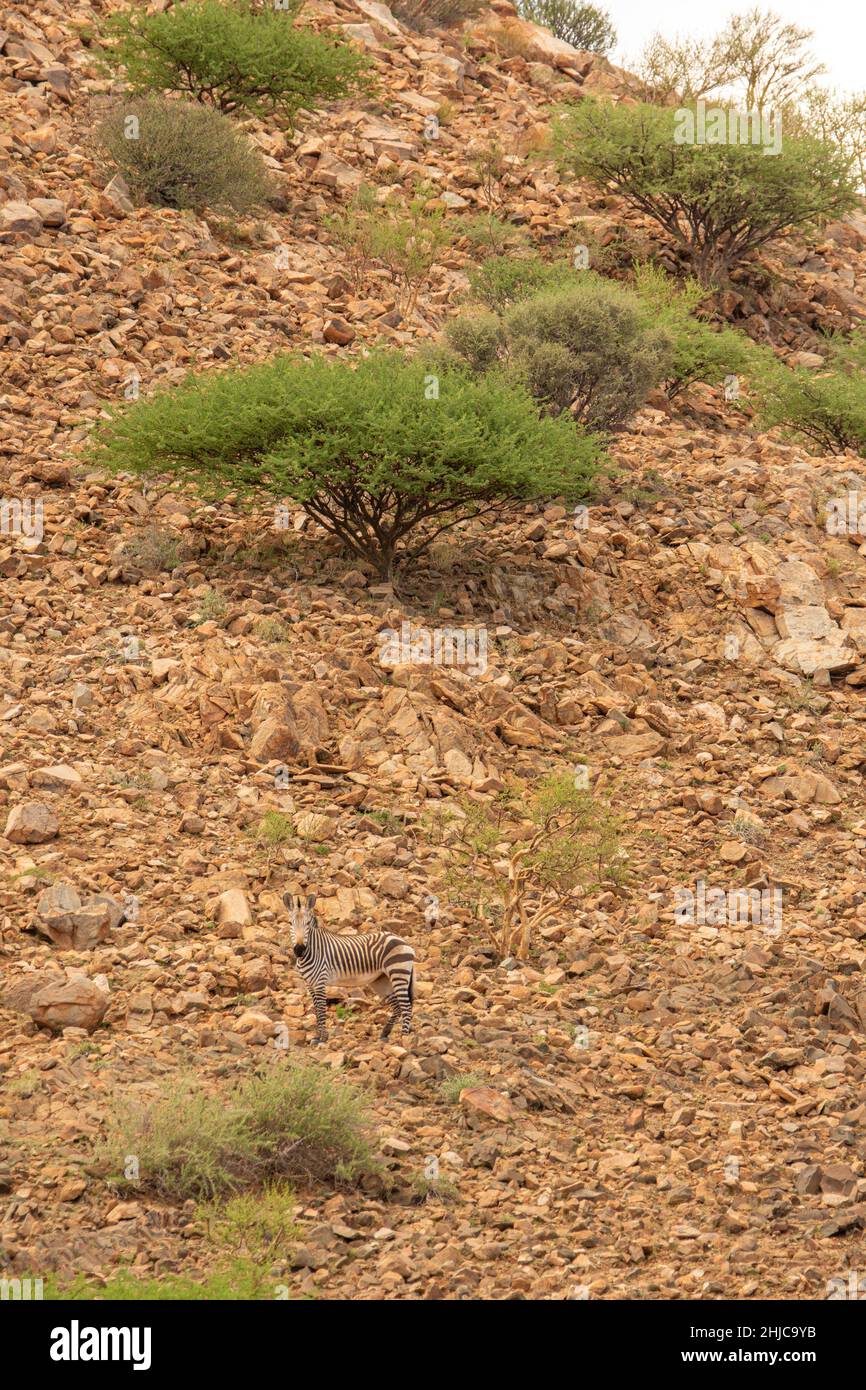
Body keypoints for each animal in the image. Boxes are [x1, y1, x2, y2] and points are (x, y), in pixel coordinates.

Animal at [283, 893, 415, 1045]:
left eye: (308, 924)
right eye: (290, 923)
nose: (299, 950)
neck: (311, 951)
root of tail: (403, 941)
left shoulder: (320, 981)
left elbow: (321, 1009)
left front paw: (323, 1038)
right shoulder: (310, 984)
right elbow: (316, 1009)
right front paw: (317, 1037)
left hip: (398, 973)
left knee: (406, 1007)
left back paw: (404, 1039)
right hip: (382, 980)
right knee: (398, 1007)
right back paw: (385, 1033)